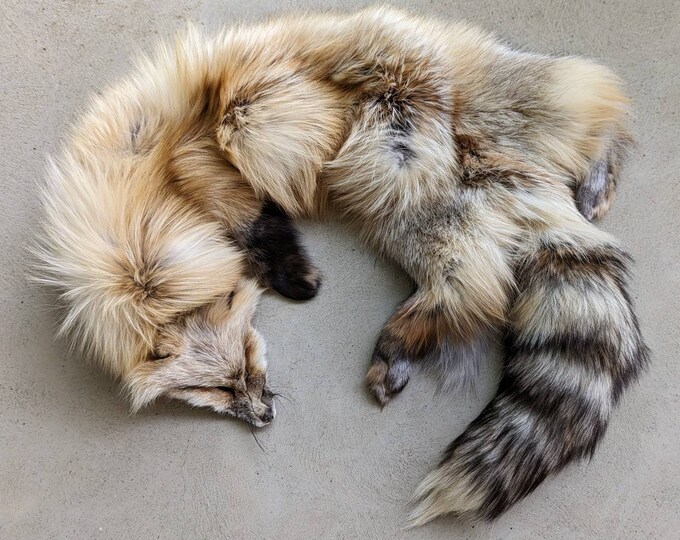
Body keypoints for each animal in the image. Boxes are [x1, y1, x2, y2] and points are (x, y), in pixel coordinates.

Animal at [35, 6, 649, 525]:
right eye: (215, 392)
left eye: (245, 366)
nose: (266, 419)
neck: (138, 187)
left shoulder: (209, 156)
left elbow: (257, 222)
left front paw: (294, 278)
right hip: (426, 195)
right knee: (486, 270)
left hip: (398, 176)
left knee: (597, 108)